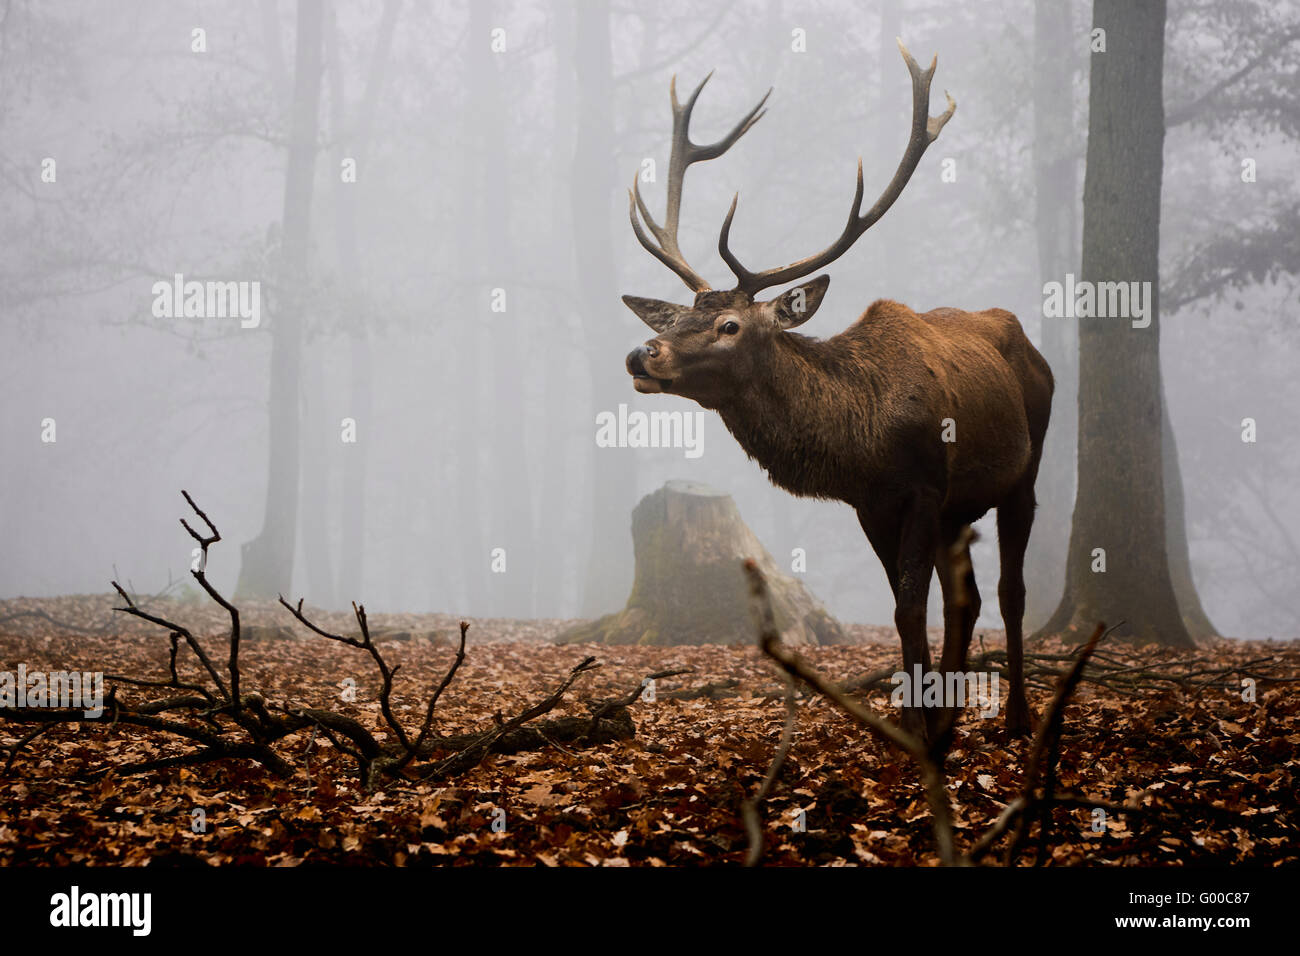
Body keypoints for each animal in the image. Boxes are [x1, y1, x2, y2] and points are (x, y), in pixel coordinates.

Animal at [621, 41, 1054, 743]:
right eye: (678, 317)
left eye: (730, 325)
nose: (642, 352)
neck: (864, 437)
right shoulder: (871, 504)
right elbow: (906, 606)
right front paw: (917, 721)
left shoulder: (924, 487)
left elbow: (910, 608)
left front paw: (916, 724)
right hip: (962, 507)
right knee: (968, 601)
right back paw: (953, 718)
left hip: (1027, 466)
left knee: (1010, 592)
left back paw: (1016, 718)